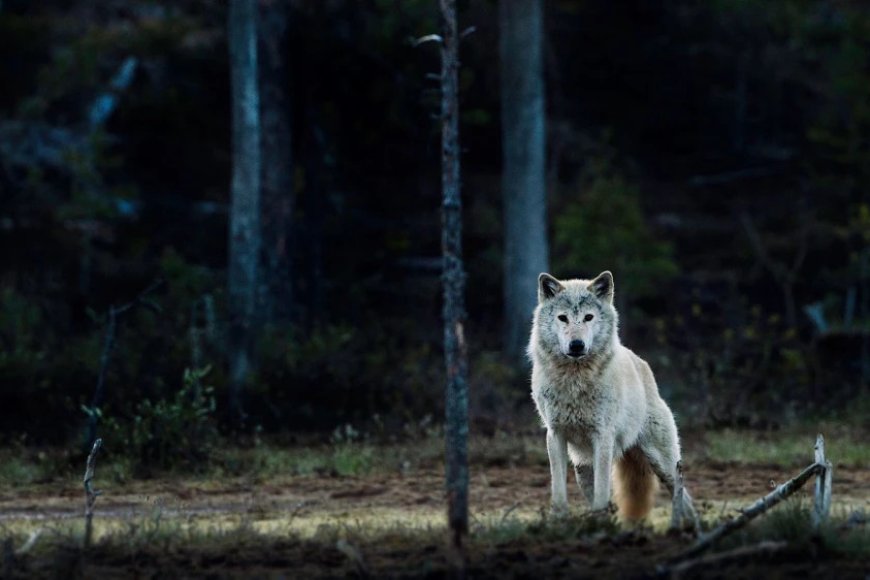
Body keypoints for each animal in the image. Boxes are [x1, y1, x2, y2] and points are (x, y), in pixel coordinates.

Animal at [528, 271, 696, 522]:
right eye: (563, 318)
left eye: (588, 317)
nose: (576, 345)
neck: (575, 381)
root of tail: (642, 363)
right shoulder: (555, 435)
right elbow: (558, 489)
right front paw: (559, 520)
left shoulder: (603, 436)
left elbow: (602, 491)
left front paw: (600, 520)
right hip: (582, 468)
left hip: (663, 463)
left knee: (682, 494)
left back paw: (686, 525)